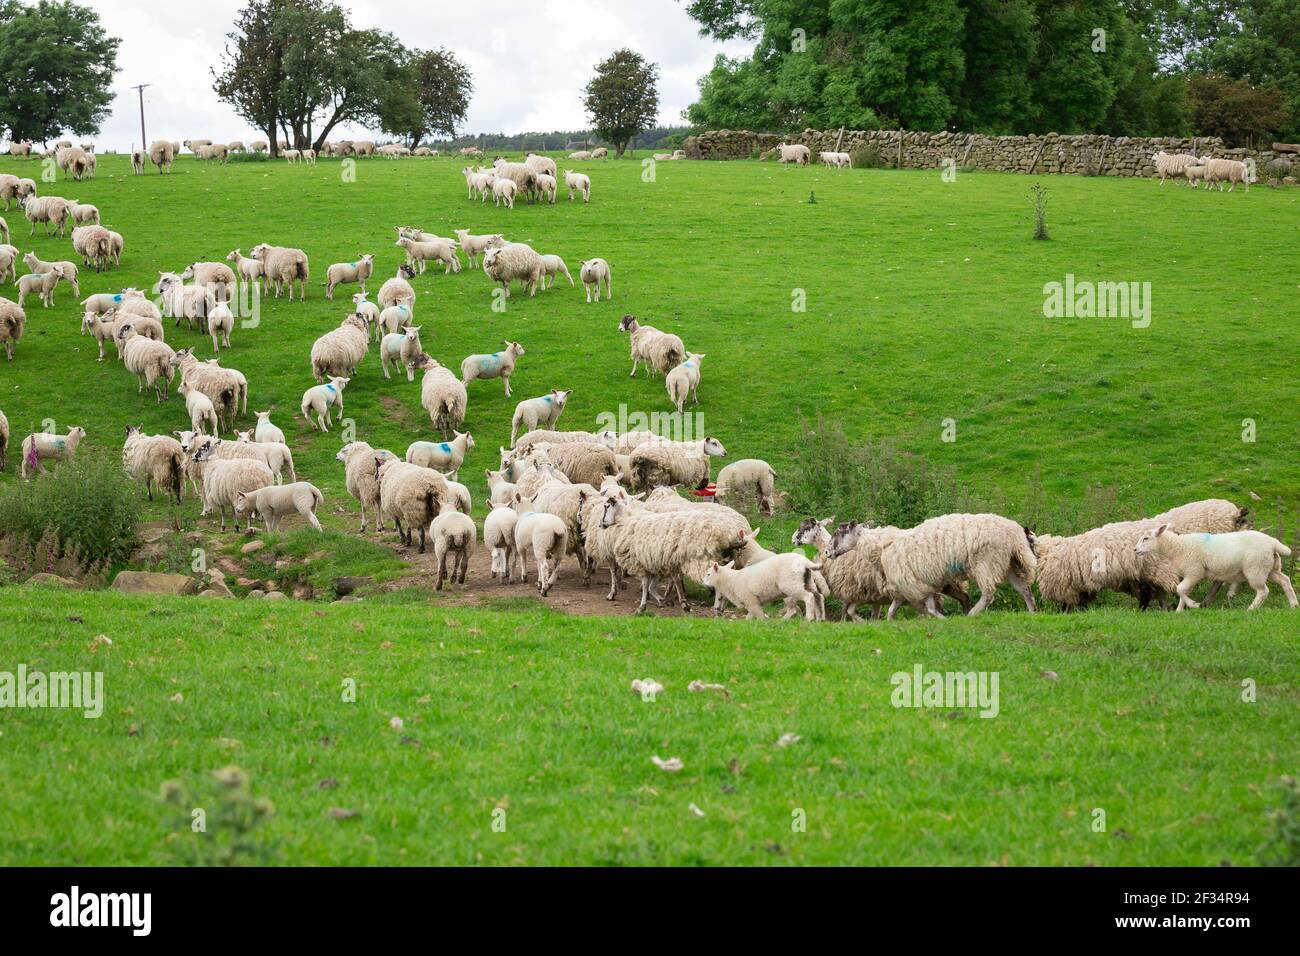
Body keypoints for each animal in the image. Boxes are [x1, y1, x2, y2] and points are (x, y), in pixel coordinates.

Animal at [875, 513, 1037, 618]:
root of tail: (1014, 536)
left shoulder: (917, 587)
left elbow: (930, 609)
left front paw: (942, 619)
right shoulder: (917, 588)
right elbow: (892, 609)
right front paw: (890, 620)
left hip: (987, 563)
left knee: (988, 593)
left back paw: (972, 614)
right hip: (1007, 563)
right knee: (1024, 589)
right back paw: (1032, 612)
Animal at [1135, 525, 1296, 611]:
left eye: (1146, 538)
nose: (1135, 550)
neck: (1177, 547)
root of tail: (1273, 542)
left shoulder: (1195, 572)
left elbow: (1180, 589)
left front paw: (1194, 605)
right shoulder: (1190, 574)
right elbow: (1183, 591)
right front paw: (1179, 611)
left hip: (1256, 568)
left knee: (1263, 591)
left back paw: (1251, 609)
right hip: (1270, 567)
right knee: (1285, 581)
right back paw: (1294, 605)